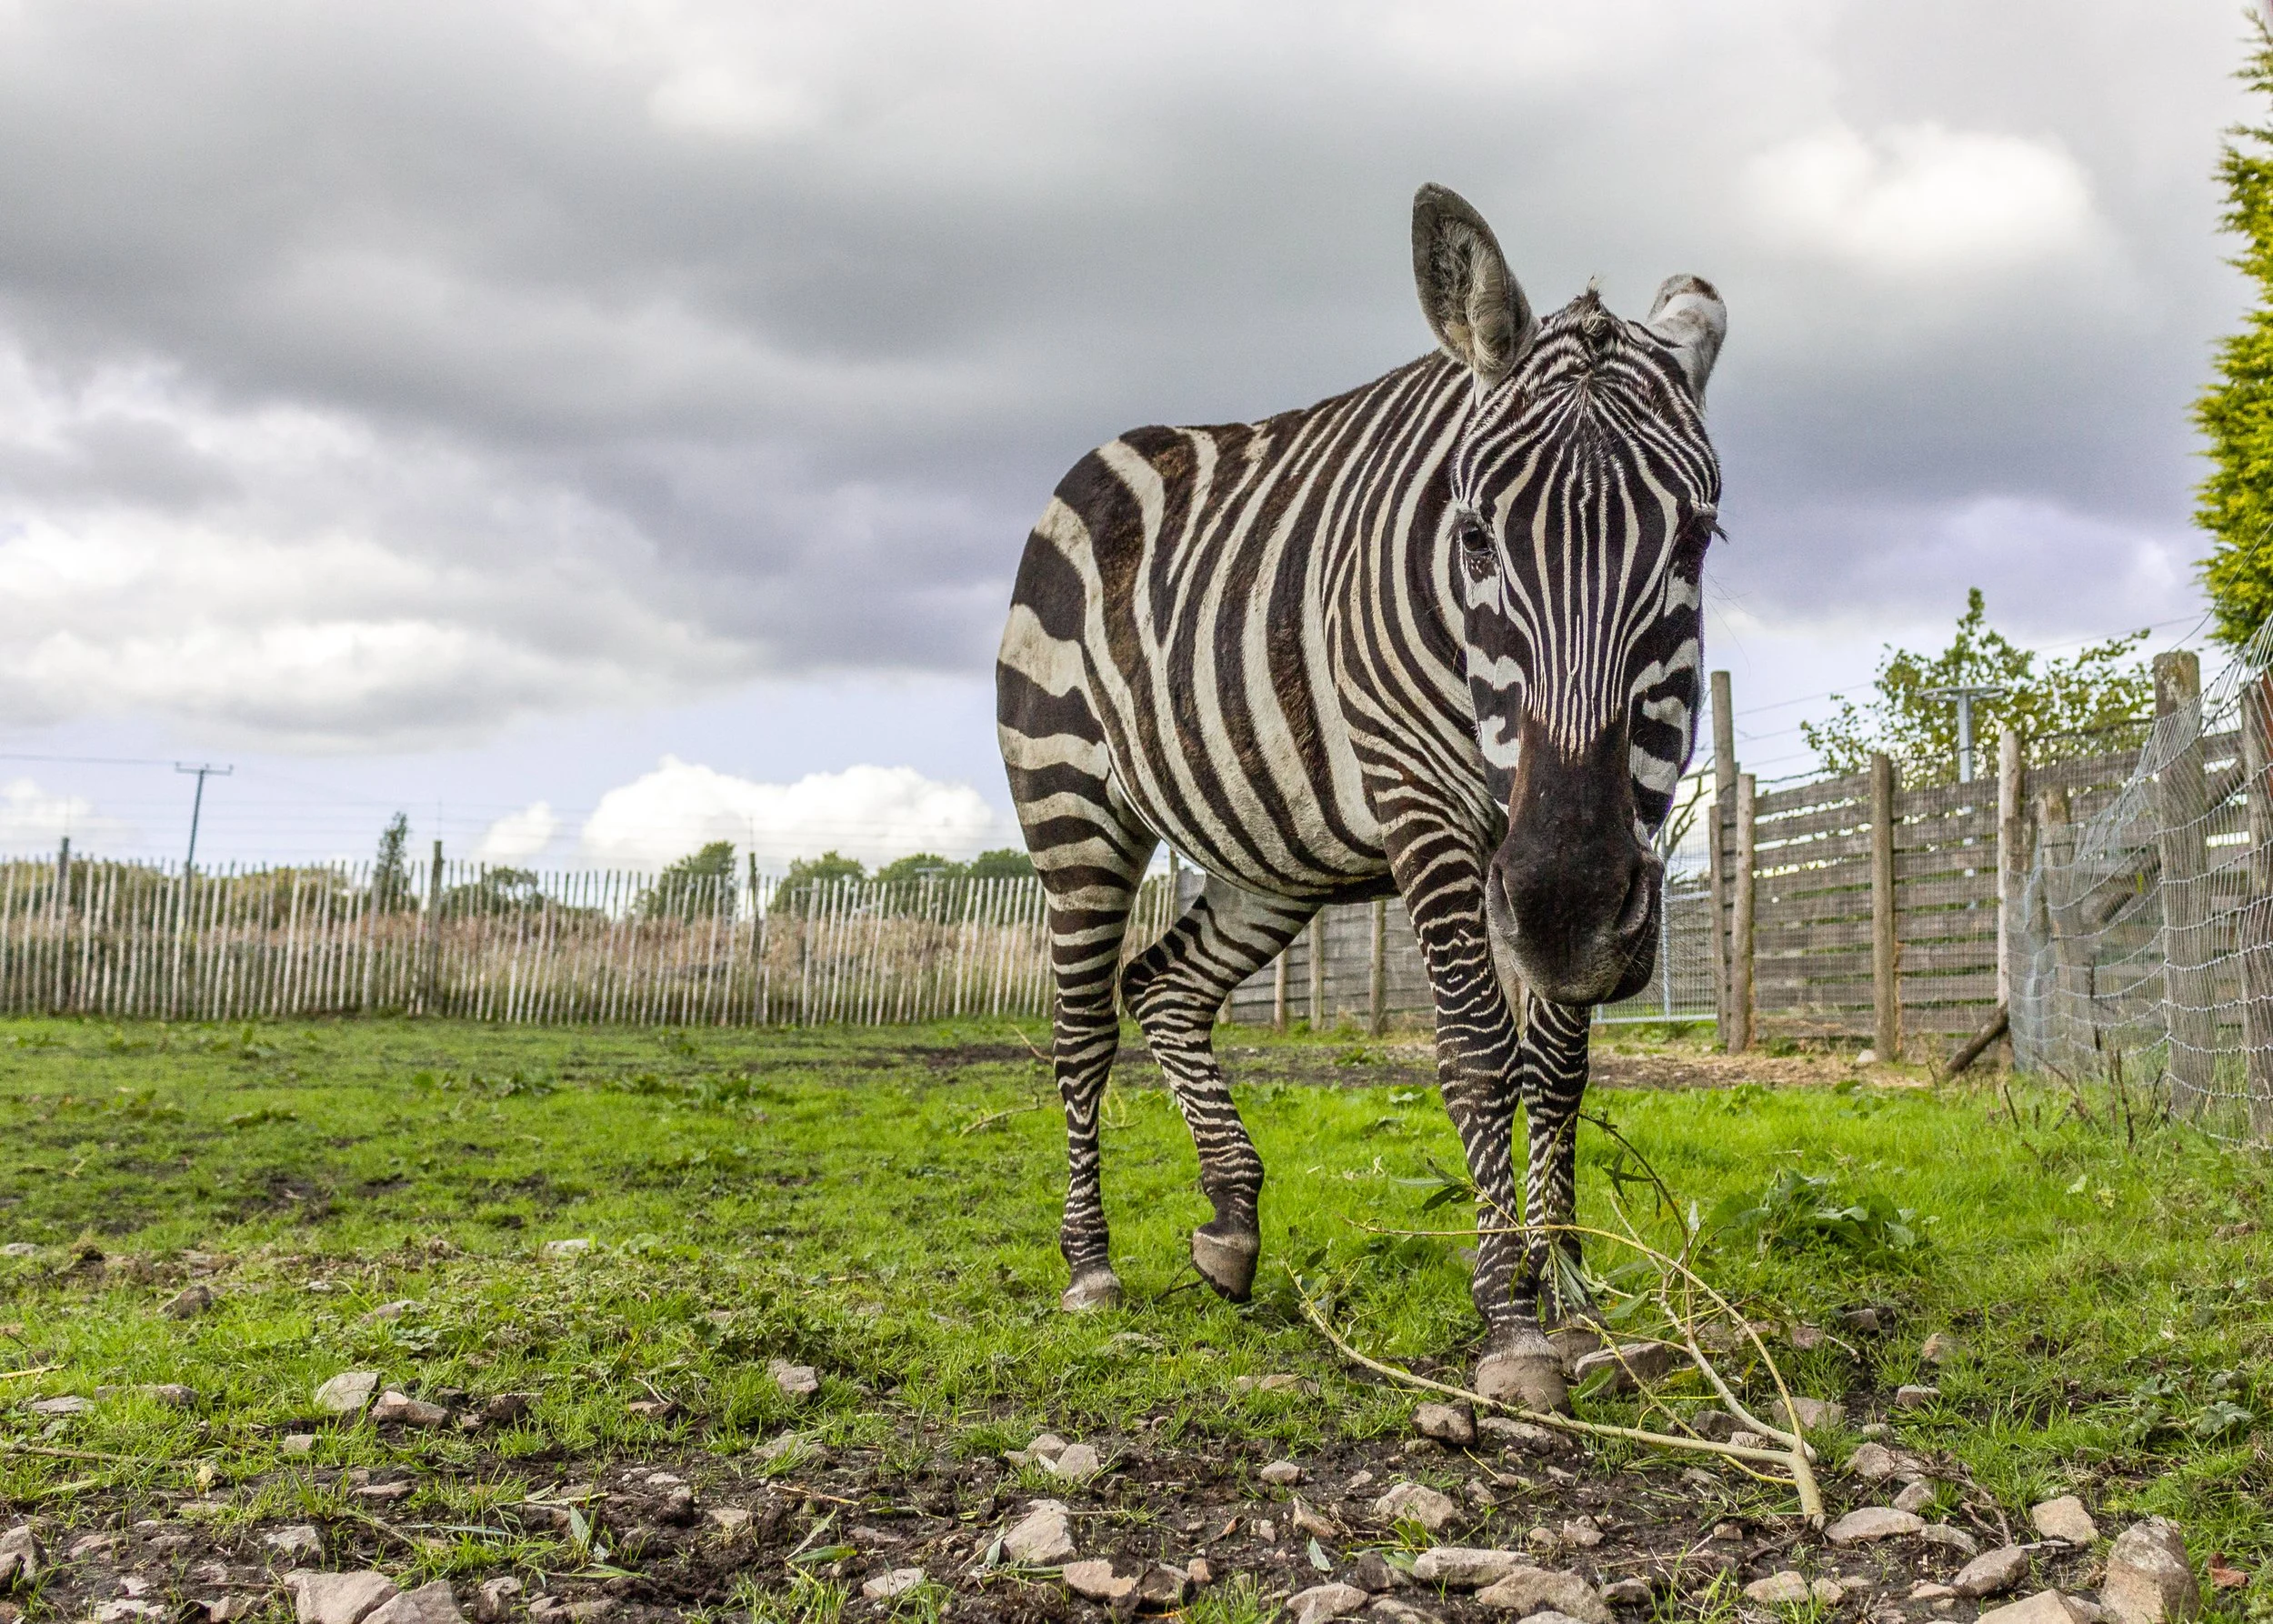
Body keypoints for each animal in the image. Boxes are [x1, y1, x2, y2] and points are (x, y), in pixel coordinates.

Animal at [995, 183, 1723, 1413]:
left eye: (1697, 539)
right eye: (1473, 536)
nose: (1567, 901)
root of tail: (1116, 450)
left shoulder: (1613, 833)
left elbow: (1560, 1067)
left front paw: (1573, 1291)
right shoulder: (1423, 803)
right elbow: (1478, 1056)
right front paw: (1511, 1321)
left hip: (1269, 850)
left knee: (1164, 988)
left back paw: (1230, 1222)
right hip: (1072, 805)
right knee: (1083, 1030)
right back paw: (1089, 1265)